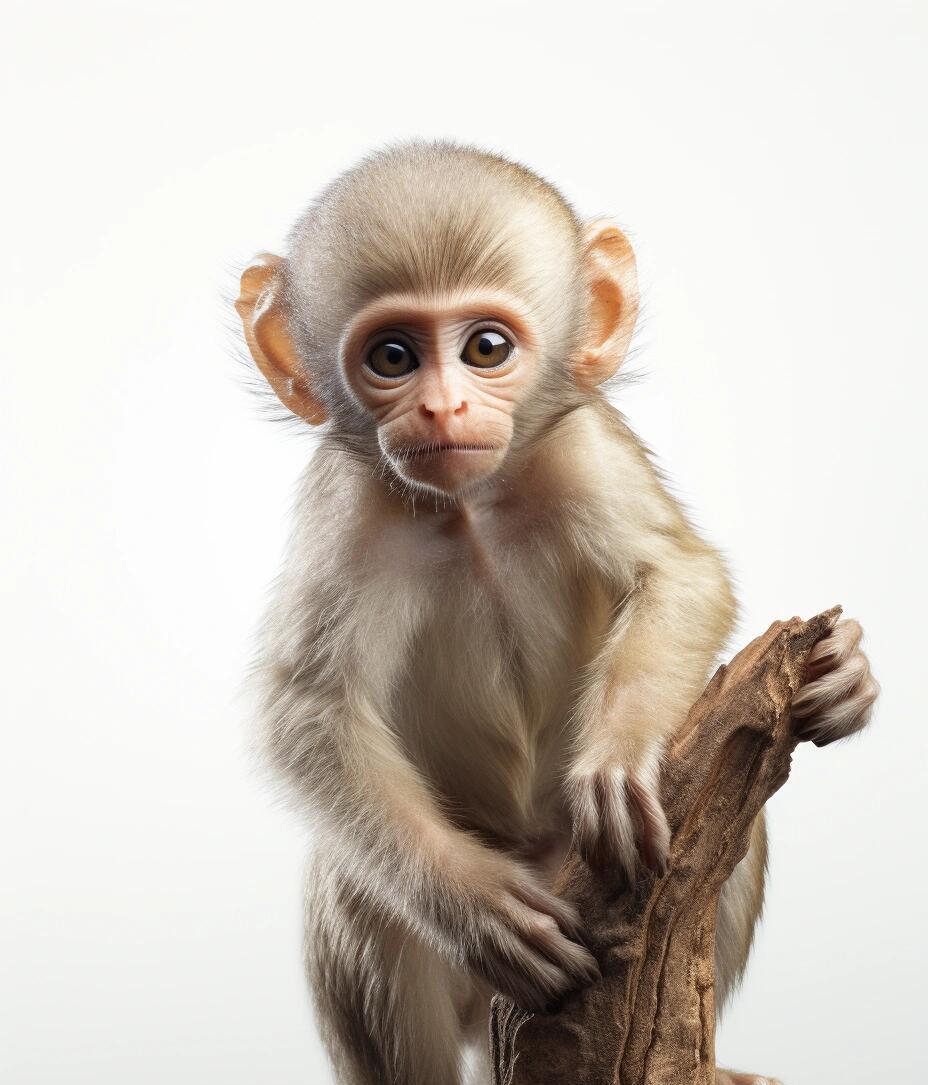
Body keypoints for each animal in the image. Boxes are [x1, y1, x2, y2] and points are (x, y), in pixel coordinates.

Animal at [234, 141, 878, 1085]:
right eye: (391, 356)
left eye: (486, 347)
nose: (442, 408)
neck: (471, 508)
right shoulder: (345, 502)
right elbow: (308, 706)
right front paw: (471, 903)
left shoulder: (582, 444)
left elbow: (680, 575)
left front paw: (618, 757)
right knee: (357, 886)